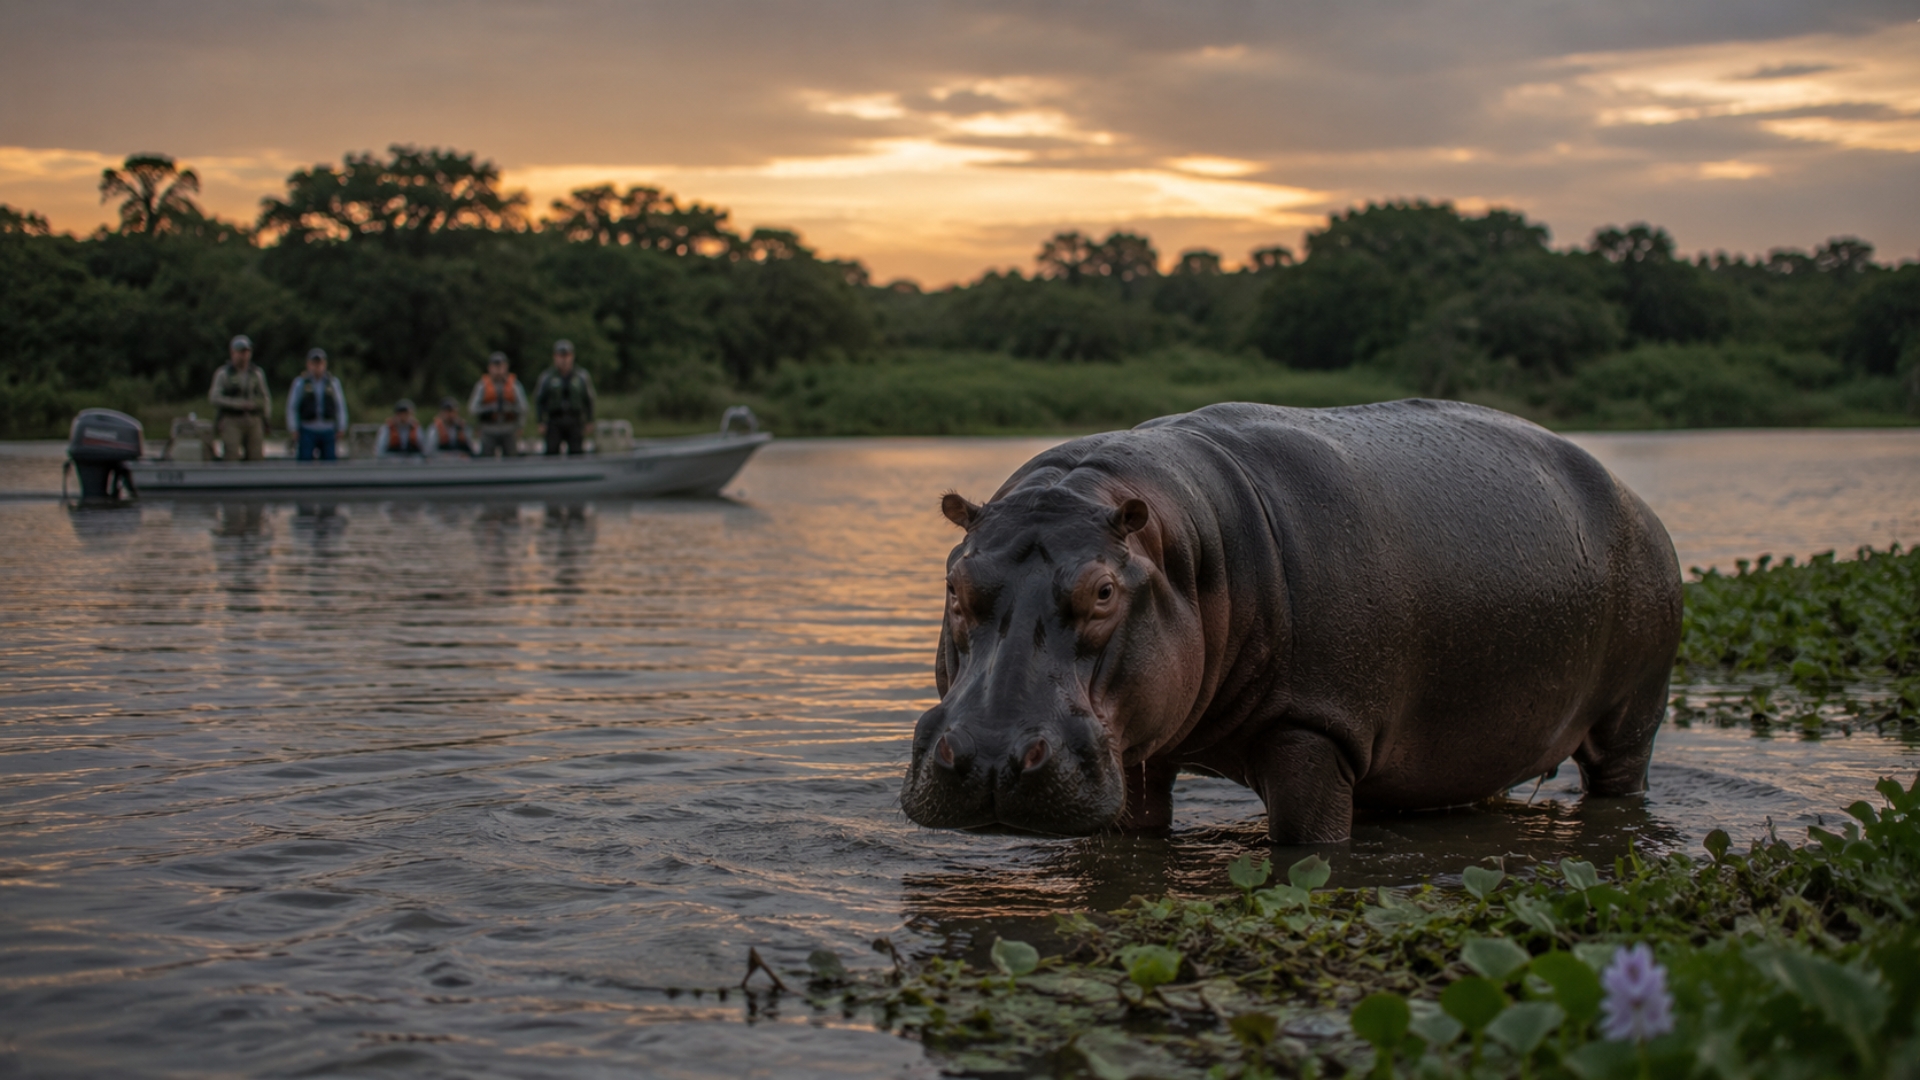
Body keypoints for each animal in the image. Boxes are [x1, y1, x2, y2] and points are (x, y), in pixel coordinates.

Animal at [899, 400, 1681, 843]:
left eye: (1102, 592)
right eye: (954, 583)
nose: (990, 757)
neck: (1188, 552)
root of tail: (1635, 500)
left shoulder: (1316, 727)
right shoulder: (1137, 753)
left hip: (1632, 716)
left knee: (1618, 779)